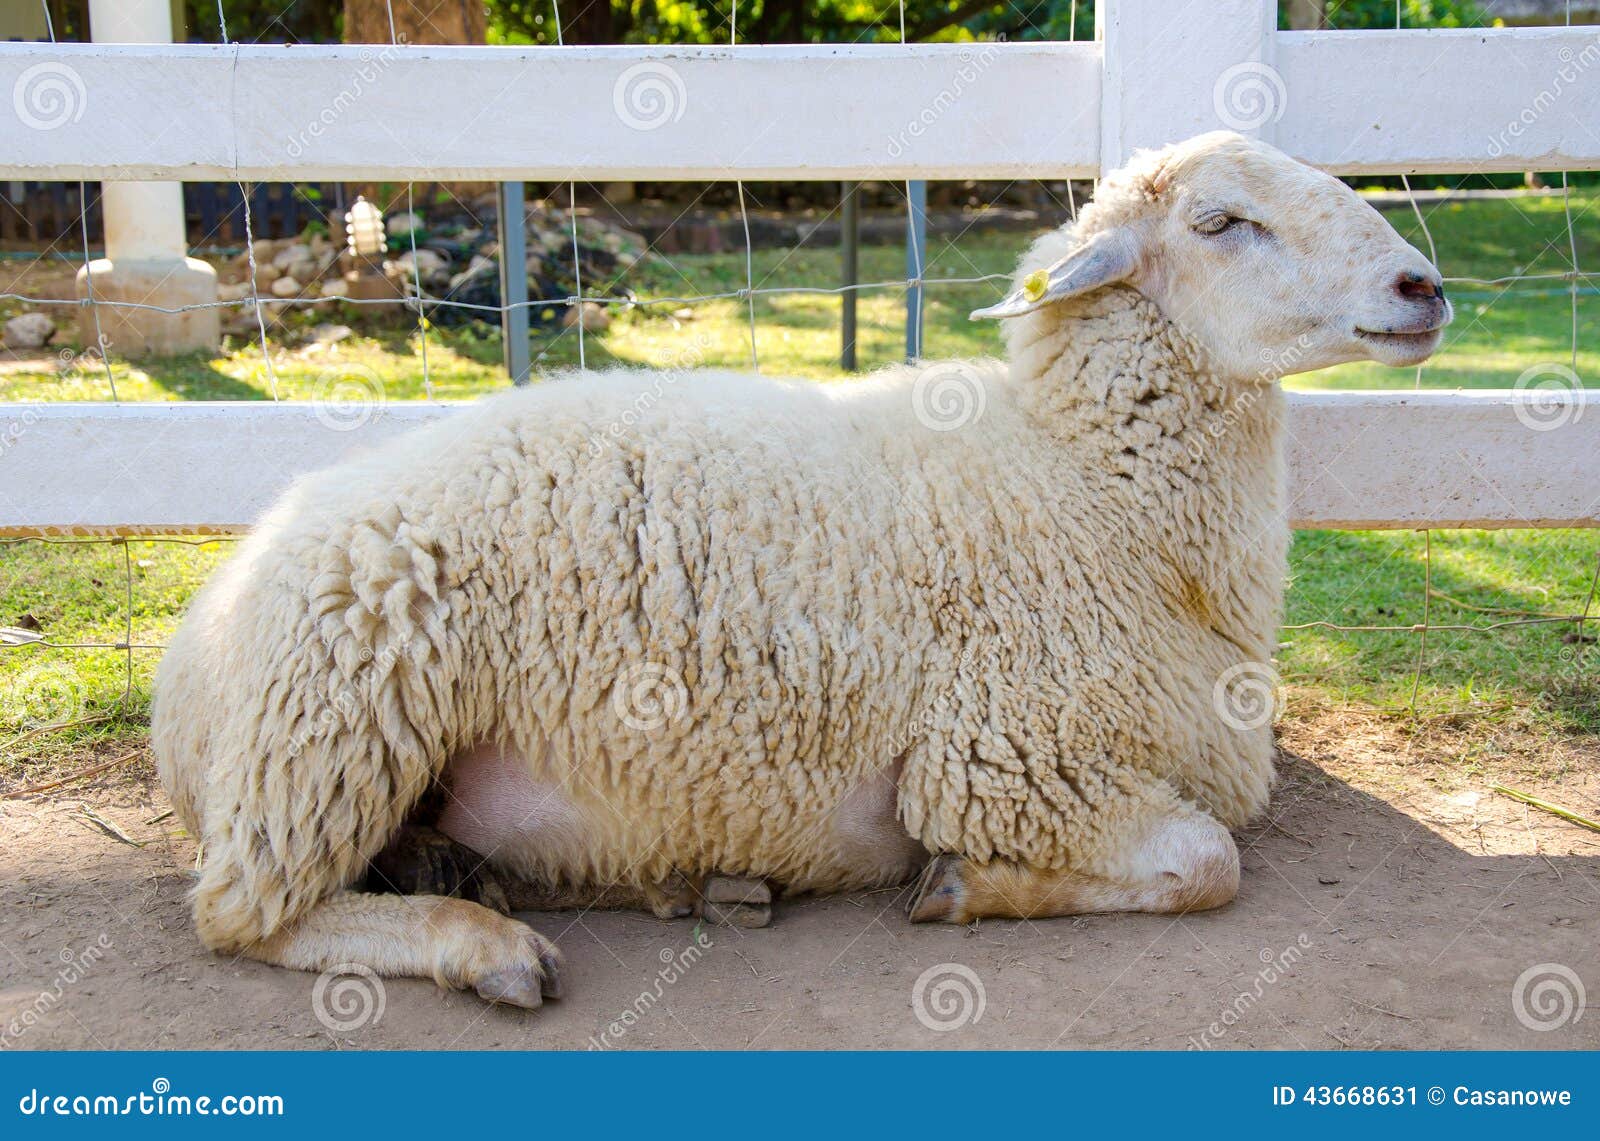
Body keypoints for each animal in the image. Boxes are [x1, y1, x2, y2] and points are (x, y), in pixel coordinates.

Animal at [151, 131, 1451, 1010]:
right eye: (1221, 223)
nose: (1422, 287)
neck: (1074, 480)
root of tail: (187, 659)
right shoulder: (1002, 759)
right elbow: (1206, 862)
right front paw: (968, 886)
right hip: (329, 729)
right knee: (242, 915)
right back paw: (482, 946)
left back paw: (649, 887)